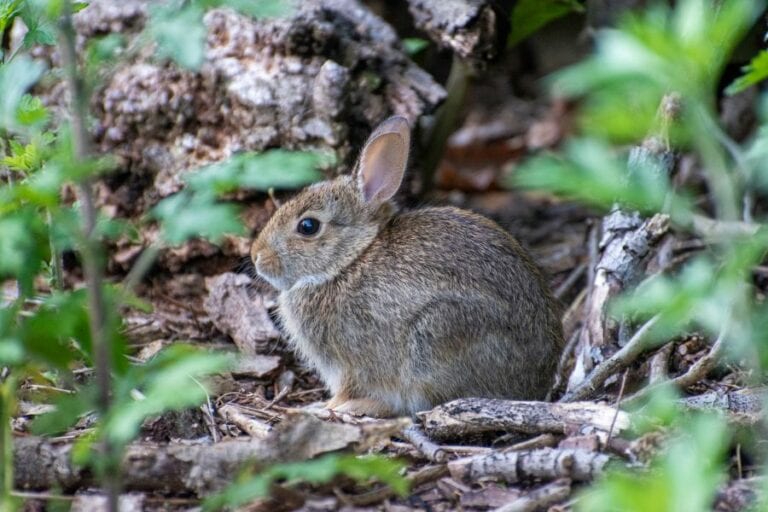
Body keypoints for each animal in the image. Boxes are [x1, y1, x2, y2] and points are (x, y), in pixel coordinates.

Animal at [251, 116, 564, 417]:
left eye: (308, 226)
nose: (256, 256)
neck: (349, 261)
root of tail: (536, 386)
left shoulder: (350, 361)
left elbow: (346, 388)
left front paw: (326, 407)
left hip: (435, 340)